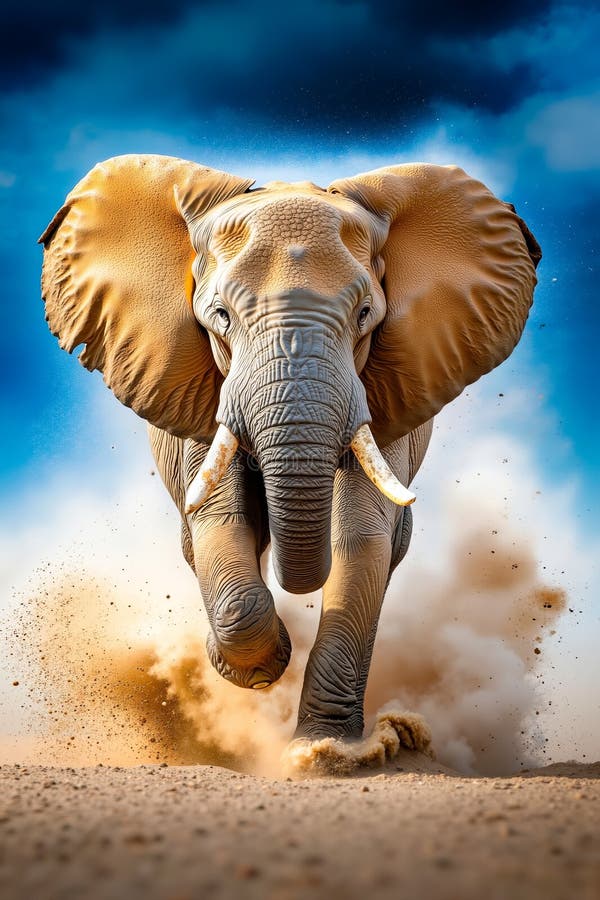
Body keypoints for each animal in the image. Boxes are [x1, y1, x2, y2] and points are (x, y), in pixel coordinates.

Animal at [39, 154, 541, 744]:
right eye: (221, 316)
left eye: (365, 314)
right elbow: (220, 515)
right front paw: (261, 667)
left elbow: (363, 534)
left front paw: (326, 749)